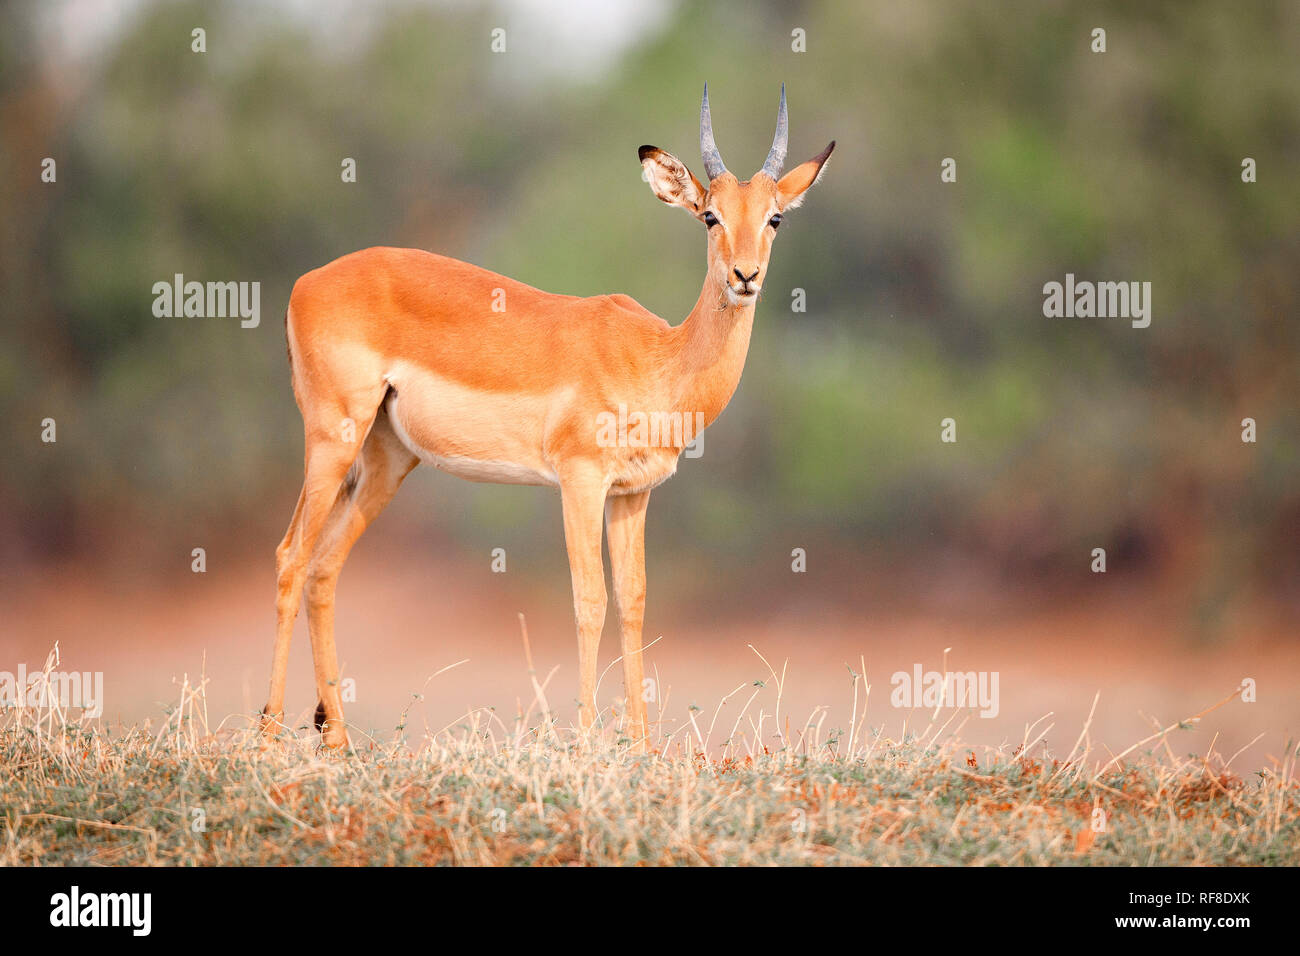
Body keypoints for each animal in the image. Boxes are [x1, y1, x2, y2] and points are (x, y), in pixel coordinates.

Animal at [260, 85, 834, 750]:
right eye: (710, 215)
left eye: (775, 217)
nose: (745, 276)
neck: (658, 359)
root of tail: (305, 282)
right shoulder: (580, 481)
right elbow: (589, 600)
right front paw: (585, 740)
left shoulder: (632, 494)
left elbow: (633, 600)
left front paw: (641, 747)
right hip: (333, 438)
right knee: (290, 557)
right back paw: (269, 733)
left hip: (386, 461)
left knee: (324, 568)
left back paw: (337, 739)